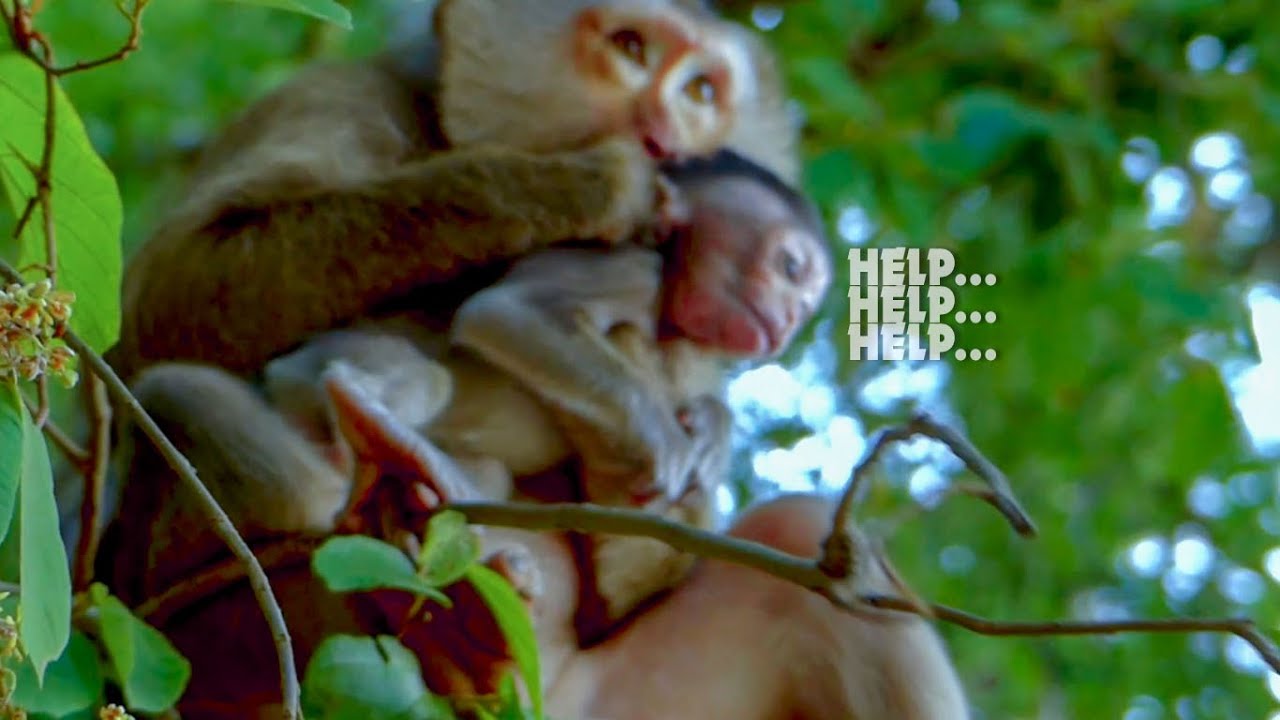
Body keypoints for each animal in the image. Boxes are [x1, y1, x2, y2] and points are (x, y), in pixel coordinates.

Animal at [108, 0, 799, 382]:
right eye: (632, 47)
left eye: (702, 91)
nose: (665, 125)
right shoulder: (338, 100)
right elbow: (173, 292)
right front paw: (585, 185)